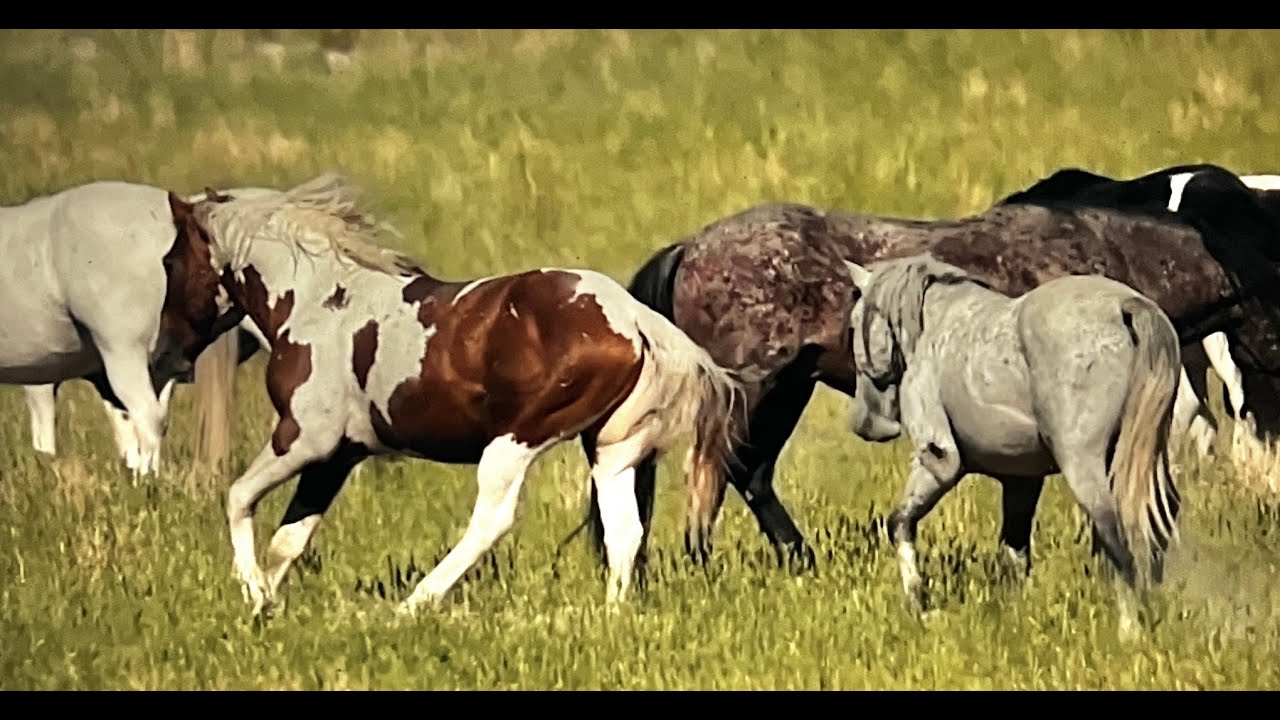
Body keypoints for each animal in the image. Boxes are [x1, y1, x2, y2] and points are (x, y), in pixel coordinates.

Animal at [165, 173, 745, 617]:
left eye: (171, 261)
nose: (175, 357)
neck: (318, 302)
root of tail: (637, 320)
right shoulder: (339, 456)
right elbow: (290, 537)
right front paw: (267, 602)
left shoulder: (305, 438)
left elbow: (238, 497)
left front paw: (254, 597)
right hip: (611, 448)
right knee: (624, 529)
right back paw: (611, 613)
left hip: (516, 440)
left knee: (493, 519)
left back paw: (413, 605)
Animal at [620, 162, 1280, 570]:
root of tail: (690, 246)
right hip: (756, 388)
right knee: (713, 472)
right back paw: (705, 562)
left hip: (787, 390)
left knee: (749, 473)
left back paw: (797, 561)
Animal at [840, 253, 1182, 641]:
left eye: (852, 327)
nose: (866, 425)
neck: (932, 327)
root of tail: (1125, 305)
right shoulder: (1021, 480)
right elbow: (1016, 550)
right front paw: (1019, 616)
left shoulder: (939, 458)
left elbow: (900, 522)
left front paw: (919, 605)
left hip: (1085, 467)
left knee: (1116, 533)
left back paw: (1129, 631)